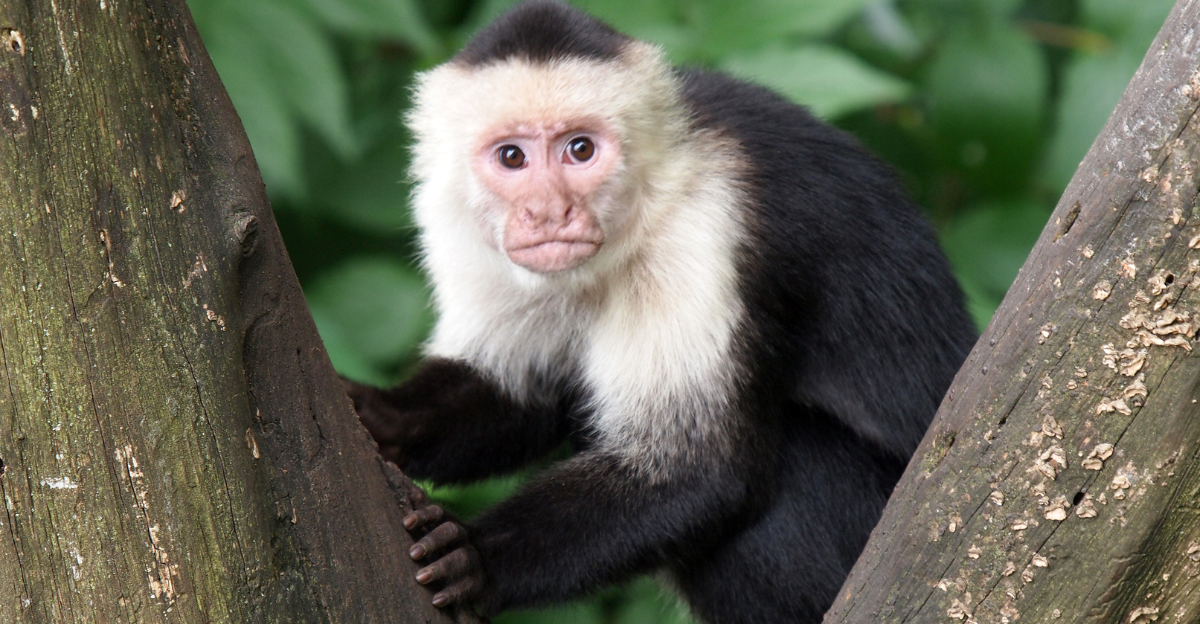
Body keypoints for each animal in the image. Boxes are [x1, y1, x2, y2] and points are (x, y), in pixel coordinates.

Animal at [342, 2, 977, 622]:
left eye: (580, 149)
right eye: (512, 157)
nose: (549, 212)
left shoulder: (700, 226)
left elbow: (695, 472)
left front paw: (477, 559)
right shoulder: (458, 228)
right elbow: (523, 393)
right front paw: (381, 415)